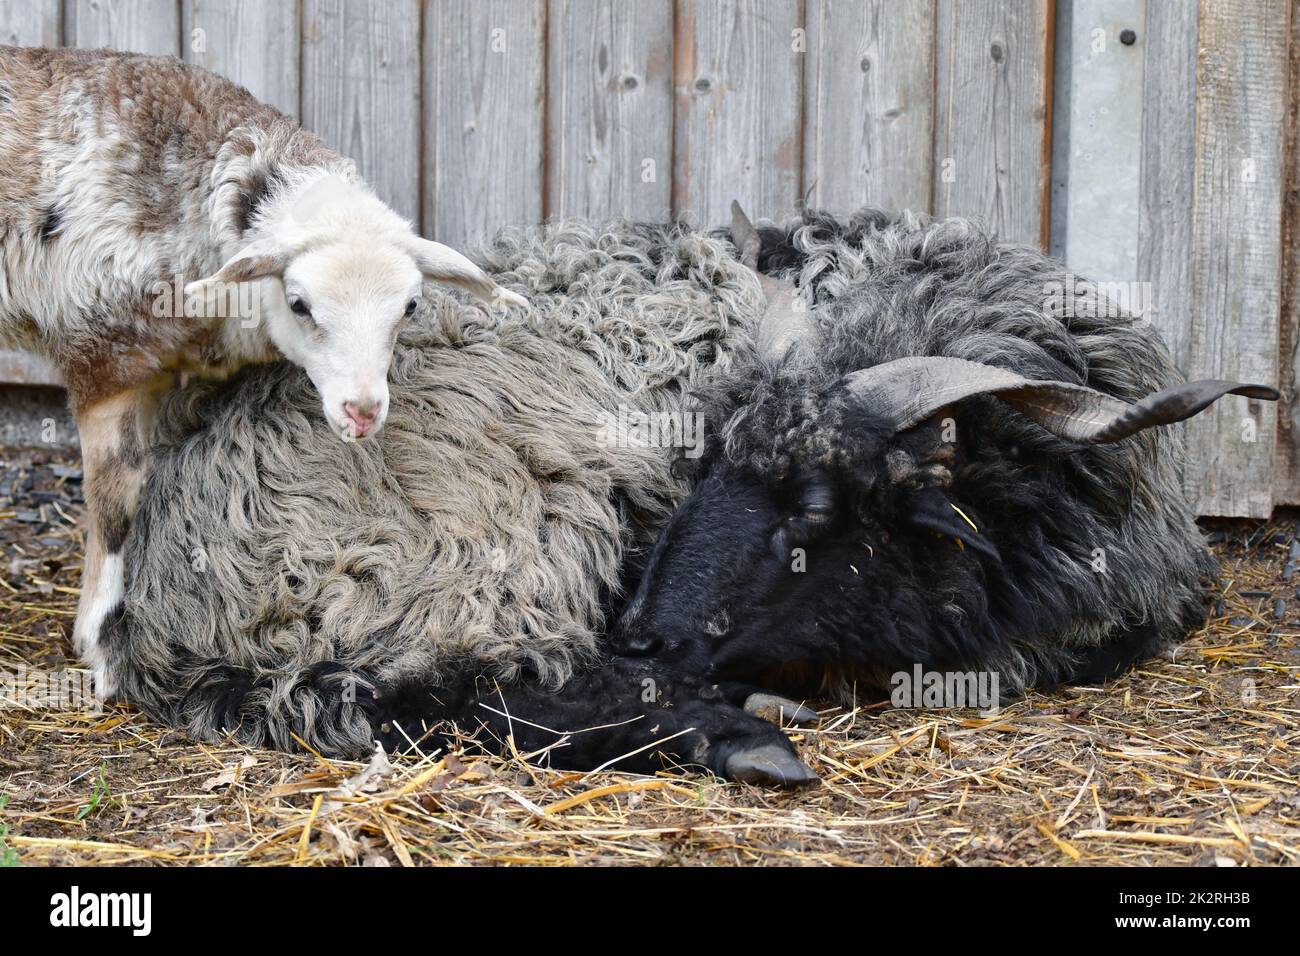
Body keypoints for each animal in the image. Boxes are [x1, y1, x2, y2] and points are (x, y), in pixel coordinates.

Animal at [2, 46, 527, 697]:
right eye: (299, 303)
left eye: (410, 307)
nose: (362, 411)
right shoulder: (105, 348)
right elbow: (117, 501)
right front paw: (101, 644)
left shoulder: (163, 363)